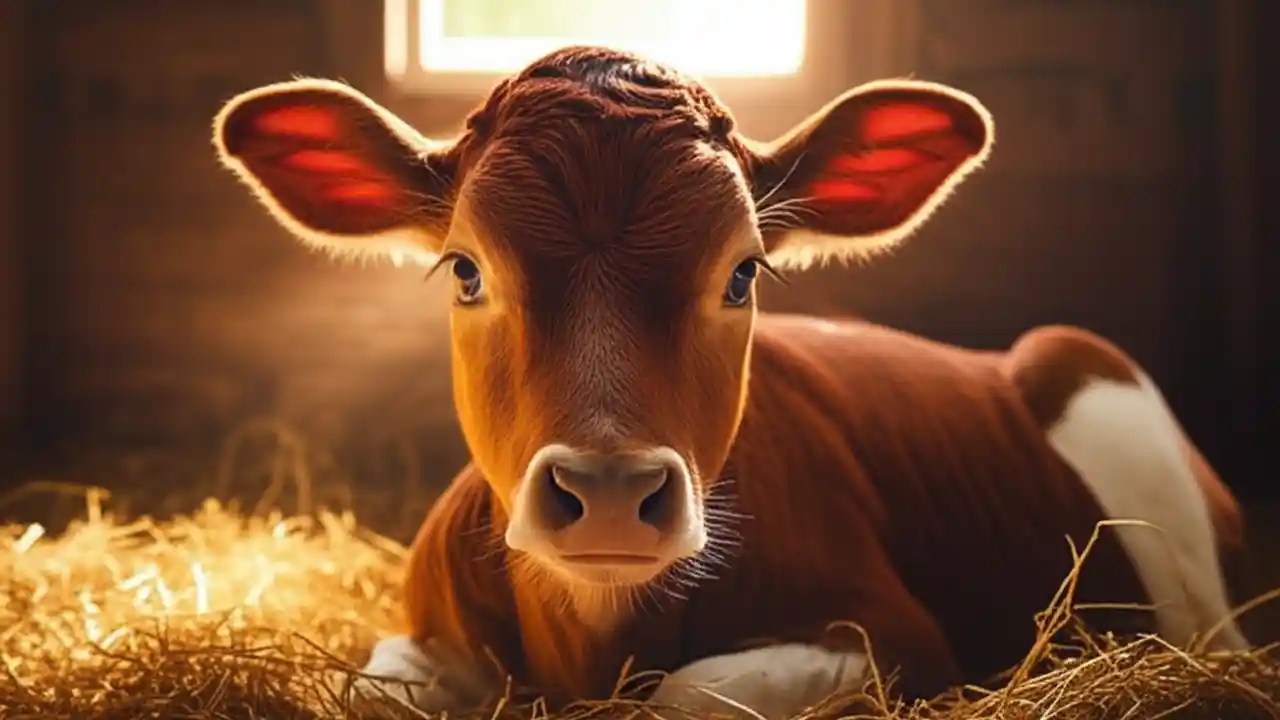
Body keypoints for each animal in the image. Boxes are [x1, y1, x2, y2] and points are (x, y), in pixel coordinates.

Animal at [213, 46, 1249, 719]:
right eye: (467, 269)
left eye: (743, 273)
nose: (609, 490)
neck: (595, 639)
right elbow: (368, 690)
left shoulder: (898, 635)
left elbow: (689, 692)